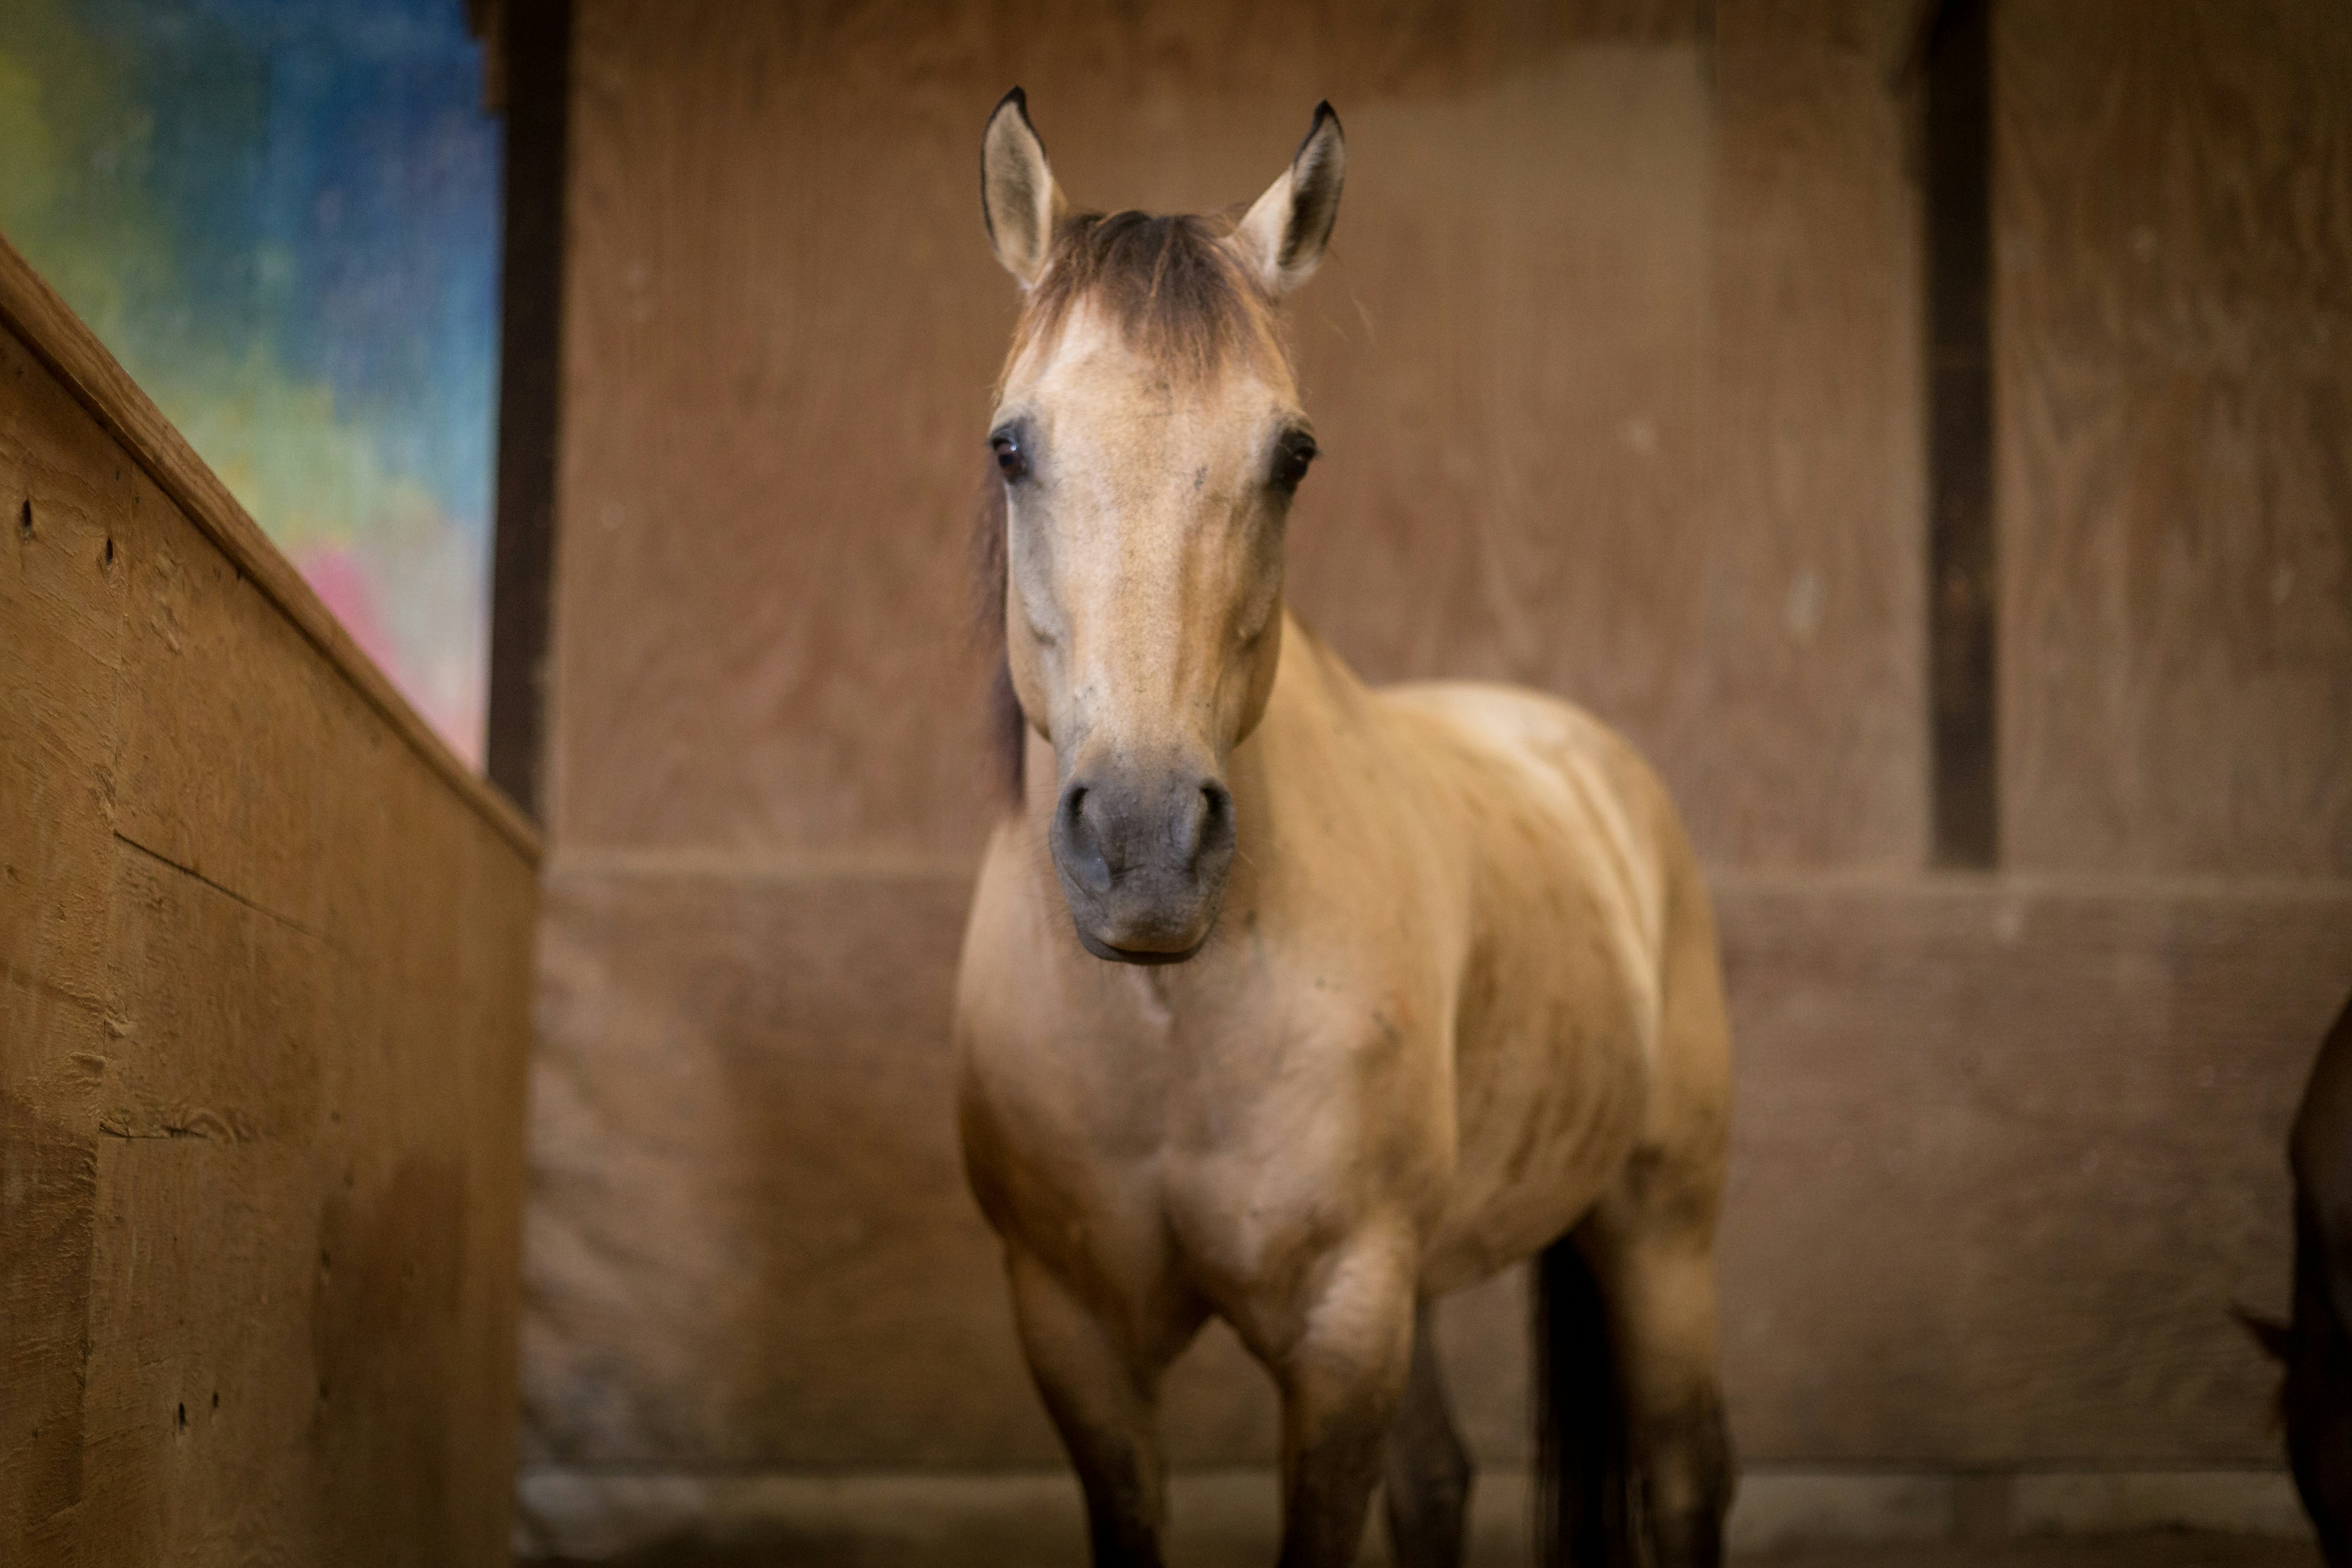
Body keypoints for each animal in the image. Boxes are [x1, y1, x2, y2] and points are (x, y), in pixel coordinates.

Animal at [953, 90, 1736, 1568]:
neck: (1172, 1029)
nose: (1145, 844)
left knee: (1683, 1475)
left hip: (1658, 1234)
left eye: (1293, 455)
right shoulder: (1073, 1333)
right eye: (1012, 446)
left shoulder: (1343, 1317)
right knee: (1438, 1483)